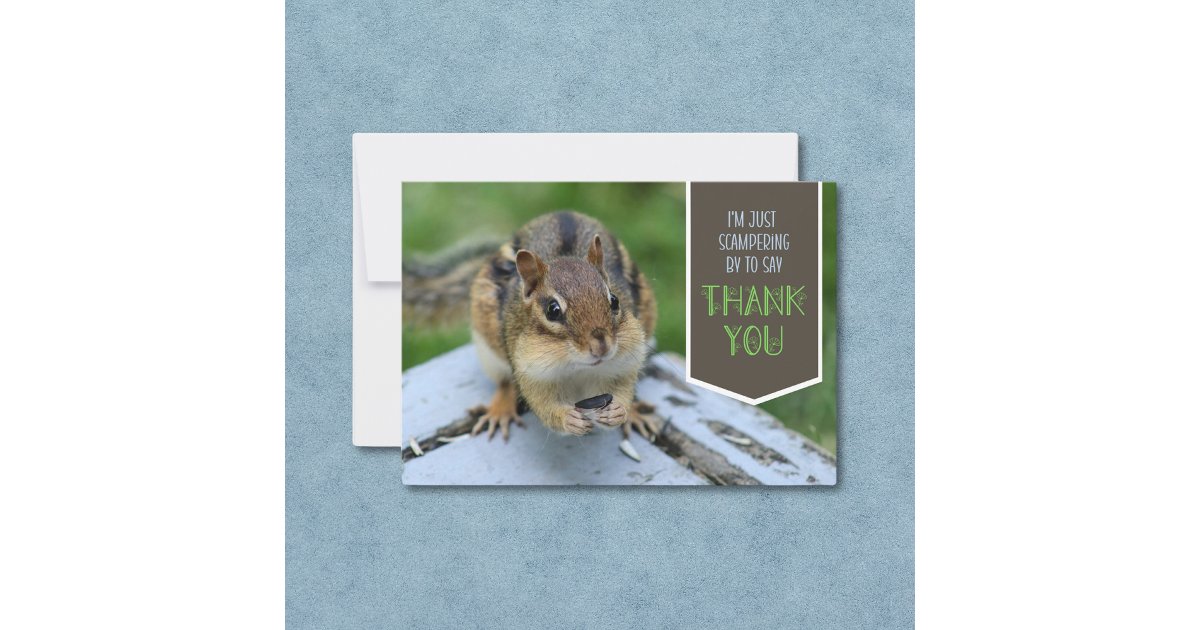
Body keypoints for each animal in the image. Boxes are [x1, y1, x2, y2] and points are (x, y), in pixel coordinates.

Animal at [403, 211, 660, 442]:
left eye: (614, 301)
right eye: (552, 310)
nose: (602, 347)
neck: (577, 367)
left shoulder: (623, 365)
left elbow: (624, 389)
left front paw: (622, 411)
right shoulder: (530, 372)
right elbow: (542, 406)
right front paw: (568, 419)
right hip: (489, 352)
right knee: (505, 383)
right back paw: (500, 411)